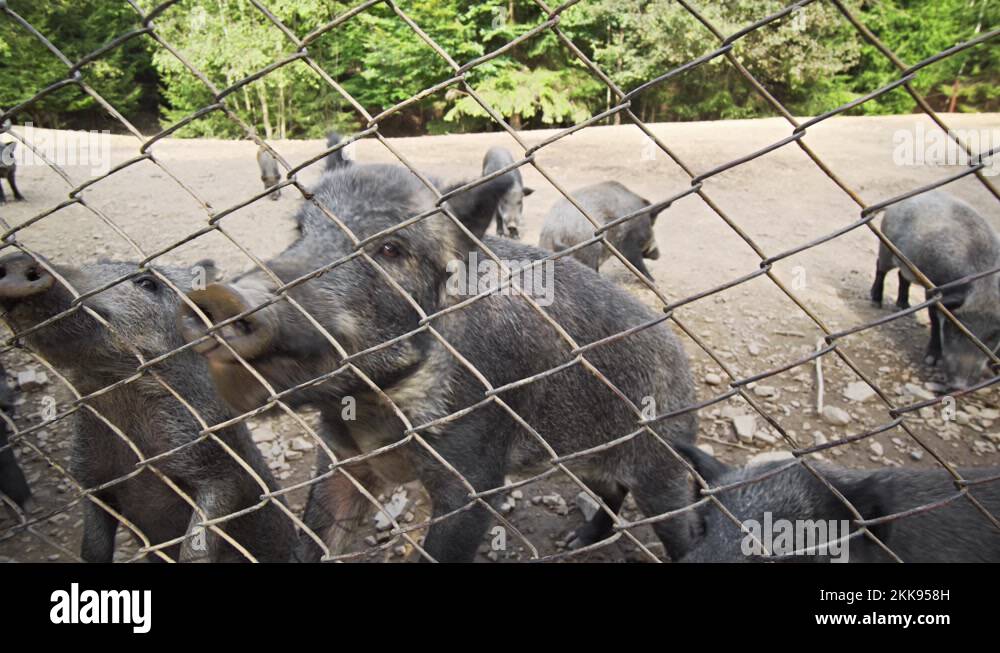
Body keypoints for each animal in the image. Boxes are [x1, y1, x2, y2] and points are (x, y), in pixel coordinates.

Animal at [0, 253, 297, 562]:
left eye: (146, 283)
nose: (17, 259)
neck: (119, 395)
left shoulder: (217, 467)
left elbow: (197, 544)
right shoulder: (89, 476)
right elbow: (92, 546)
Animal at [178, 151, 700, 563]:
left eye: (392, 249)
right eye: (300, 230)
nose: (223, 297)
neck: (377, 412)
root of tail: (681, 359)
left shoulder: (477, 471)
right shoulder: (341, 458)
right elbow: (317, 536)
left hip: (666, 457)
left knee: (681, 519)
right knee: (611, 491)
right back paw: (573, 542)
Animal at [870, 191, 1000, 390]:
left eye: (992, 336)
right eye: (955, 328)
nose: (959, 386)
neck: (984, 289)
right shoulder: (935, 289)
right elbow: (934, 320)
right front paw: (931, 361)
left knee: (902, 276)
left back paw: (905, 307)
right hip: (886, 245)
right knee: (881, 268)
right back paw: (876, 302)